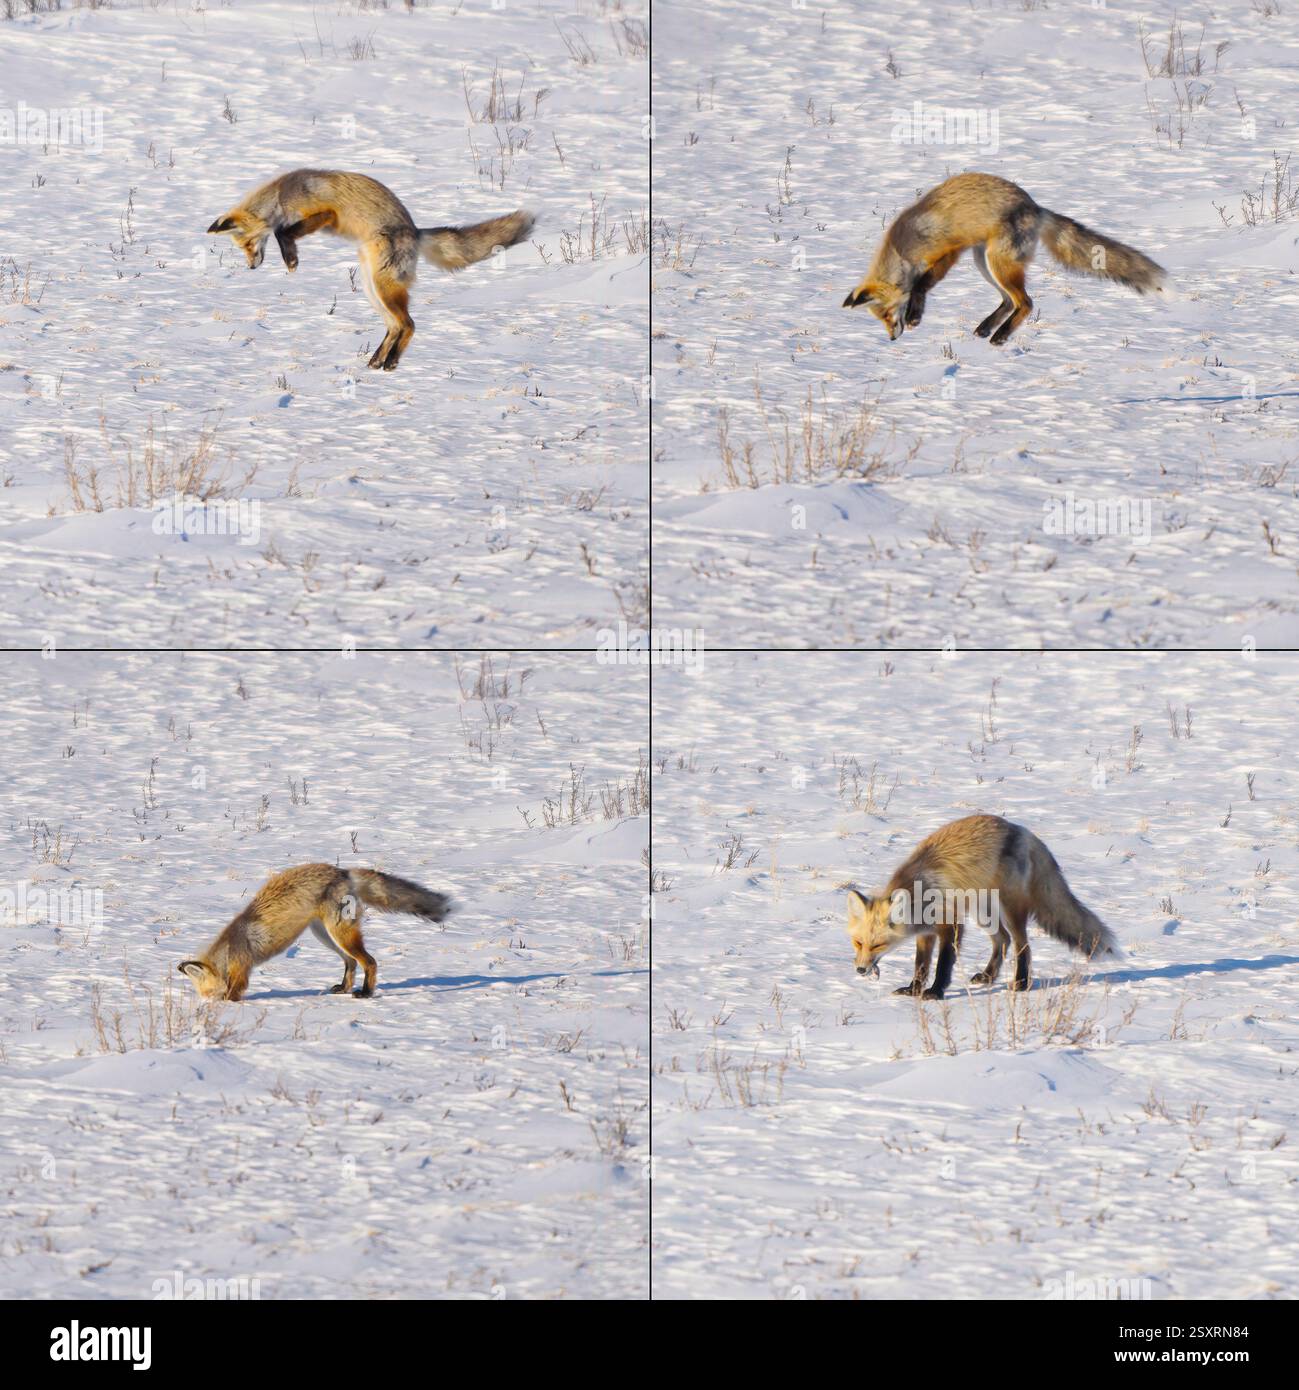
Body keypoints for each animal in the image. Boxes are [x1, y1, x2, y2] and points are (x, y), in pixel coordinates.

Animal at [178, 864, 452, 1001]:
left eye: (207, 992)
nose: (204, 1004)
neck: (229, 949)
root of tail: (342, 871)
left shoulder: (242, 971)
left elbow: (233, 994)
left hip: (340, 933)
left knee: (369, 962)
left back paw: (366, 993)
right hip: (324, 935)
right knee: (351, 962)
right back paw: (344, 988)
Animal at [206, 169, 535, 370]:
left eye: (247, 244)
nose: (251, 267)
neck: (282, 196)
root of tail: (415, 231)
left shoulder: (326, 213)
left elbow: (282, 232)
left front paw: (291, 259)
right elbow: (282, 231)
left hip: (383, 287)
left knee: (409, 325)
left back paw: (390, 363)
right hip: (372, 288)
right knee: (395, 326)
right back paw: (376, 362)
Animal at [842, 173, 1165, 345]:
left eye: (887, 315)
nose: (892, 338)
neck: (905, 246)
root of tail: (1036, 207)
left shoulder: (948, 252)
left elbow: (921, 284)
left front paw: (915, 316)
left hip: (997, 263)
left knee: (1027, 302)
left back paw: (1000, 336)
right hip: (984, 261)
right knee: (1010, 301)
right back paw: (988, 328)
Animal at [845, 815, 1116, 999]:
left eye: (878, 945)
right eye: (858, 943)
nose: (860, 970)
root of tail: (1021, 830)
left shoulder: (951, 925)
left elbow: (943, 964)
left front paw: (935, 992)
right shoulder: (925, 933)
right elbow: (920, 965)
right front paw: (914, 990)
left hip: (1008, 909)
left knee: (1022, 945)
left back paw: (1021, 983)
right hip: (983, 913)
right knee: (1003, 940)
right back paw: (988, 976)